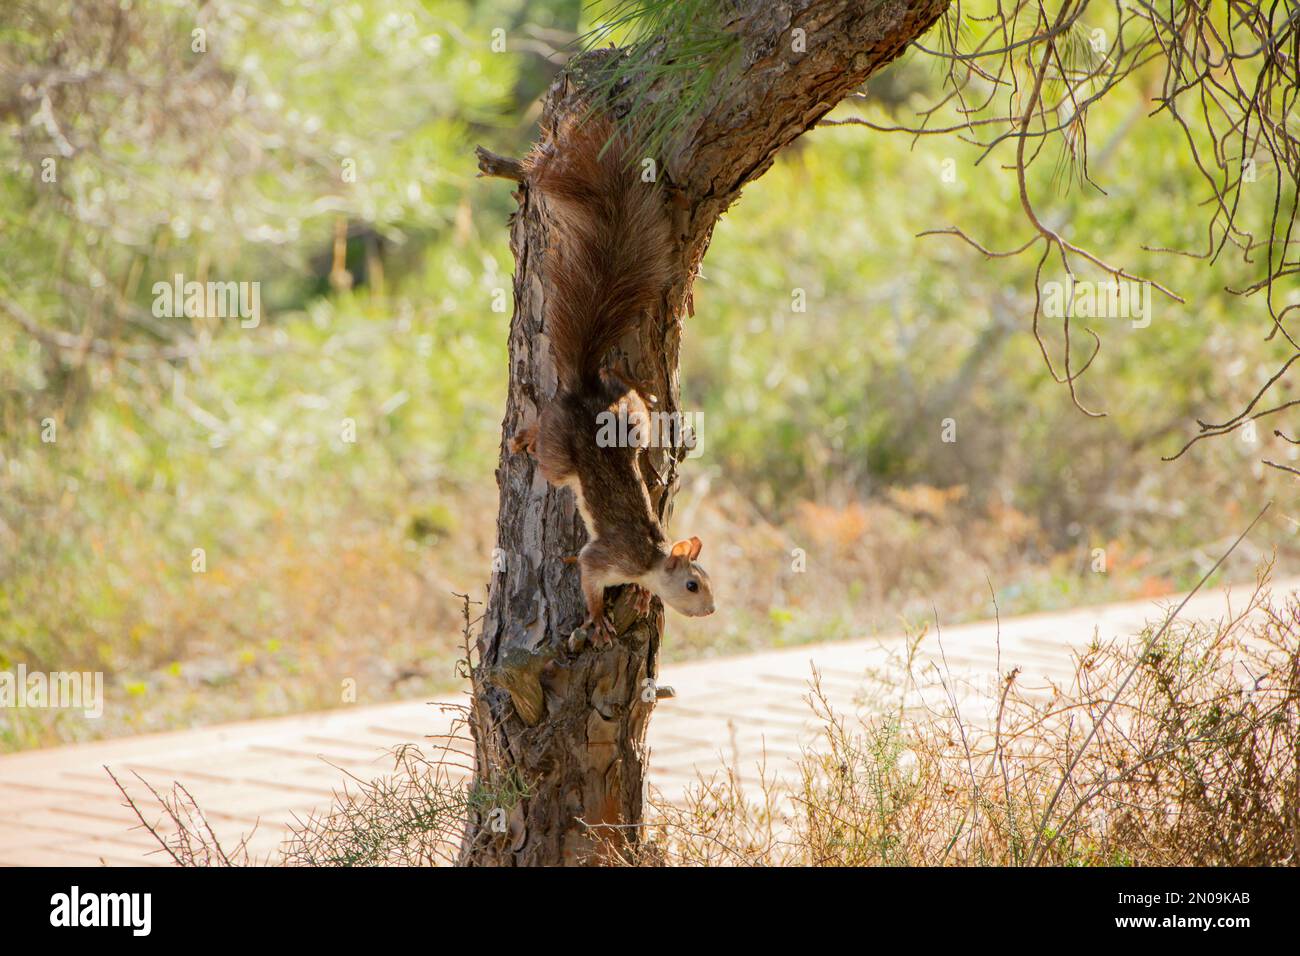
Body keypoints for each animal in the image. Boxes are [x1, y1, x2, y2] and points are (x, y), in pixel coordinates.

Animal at [509, 113, 715, 646]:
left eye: (707, 582)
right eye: (692, 585)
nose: (710, 610)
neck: (650, 559)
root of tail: (584, 392)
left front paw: (640, 599)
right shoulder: (604, 559)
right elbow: (586, 573)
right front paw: (600, 618)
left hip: (632, 423)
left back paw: (627, 379)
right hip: (560, 454)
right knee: (548, 449)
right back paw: (527, 435)